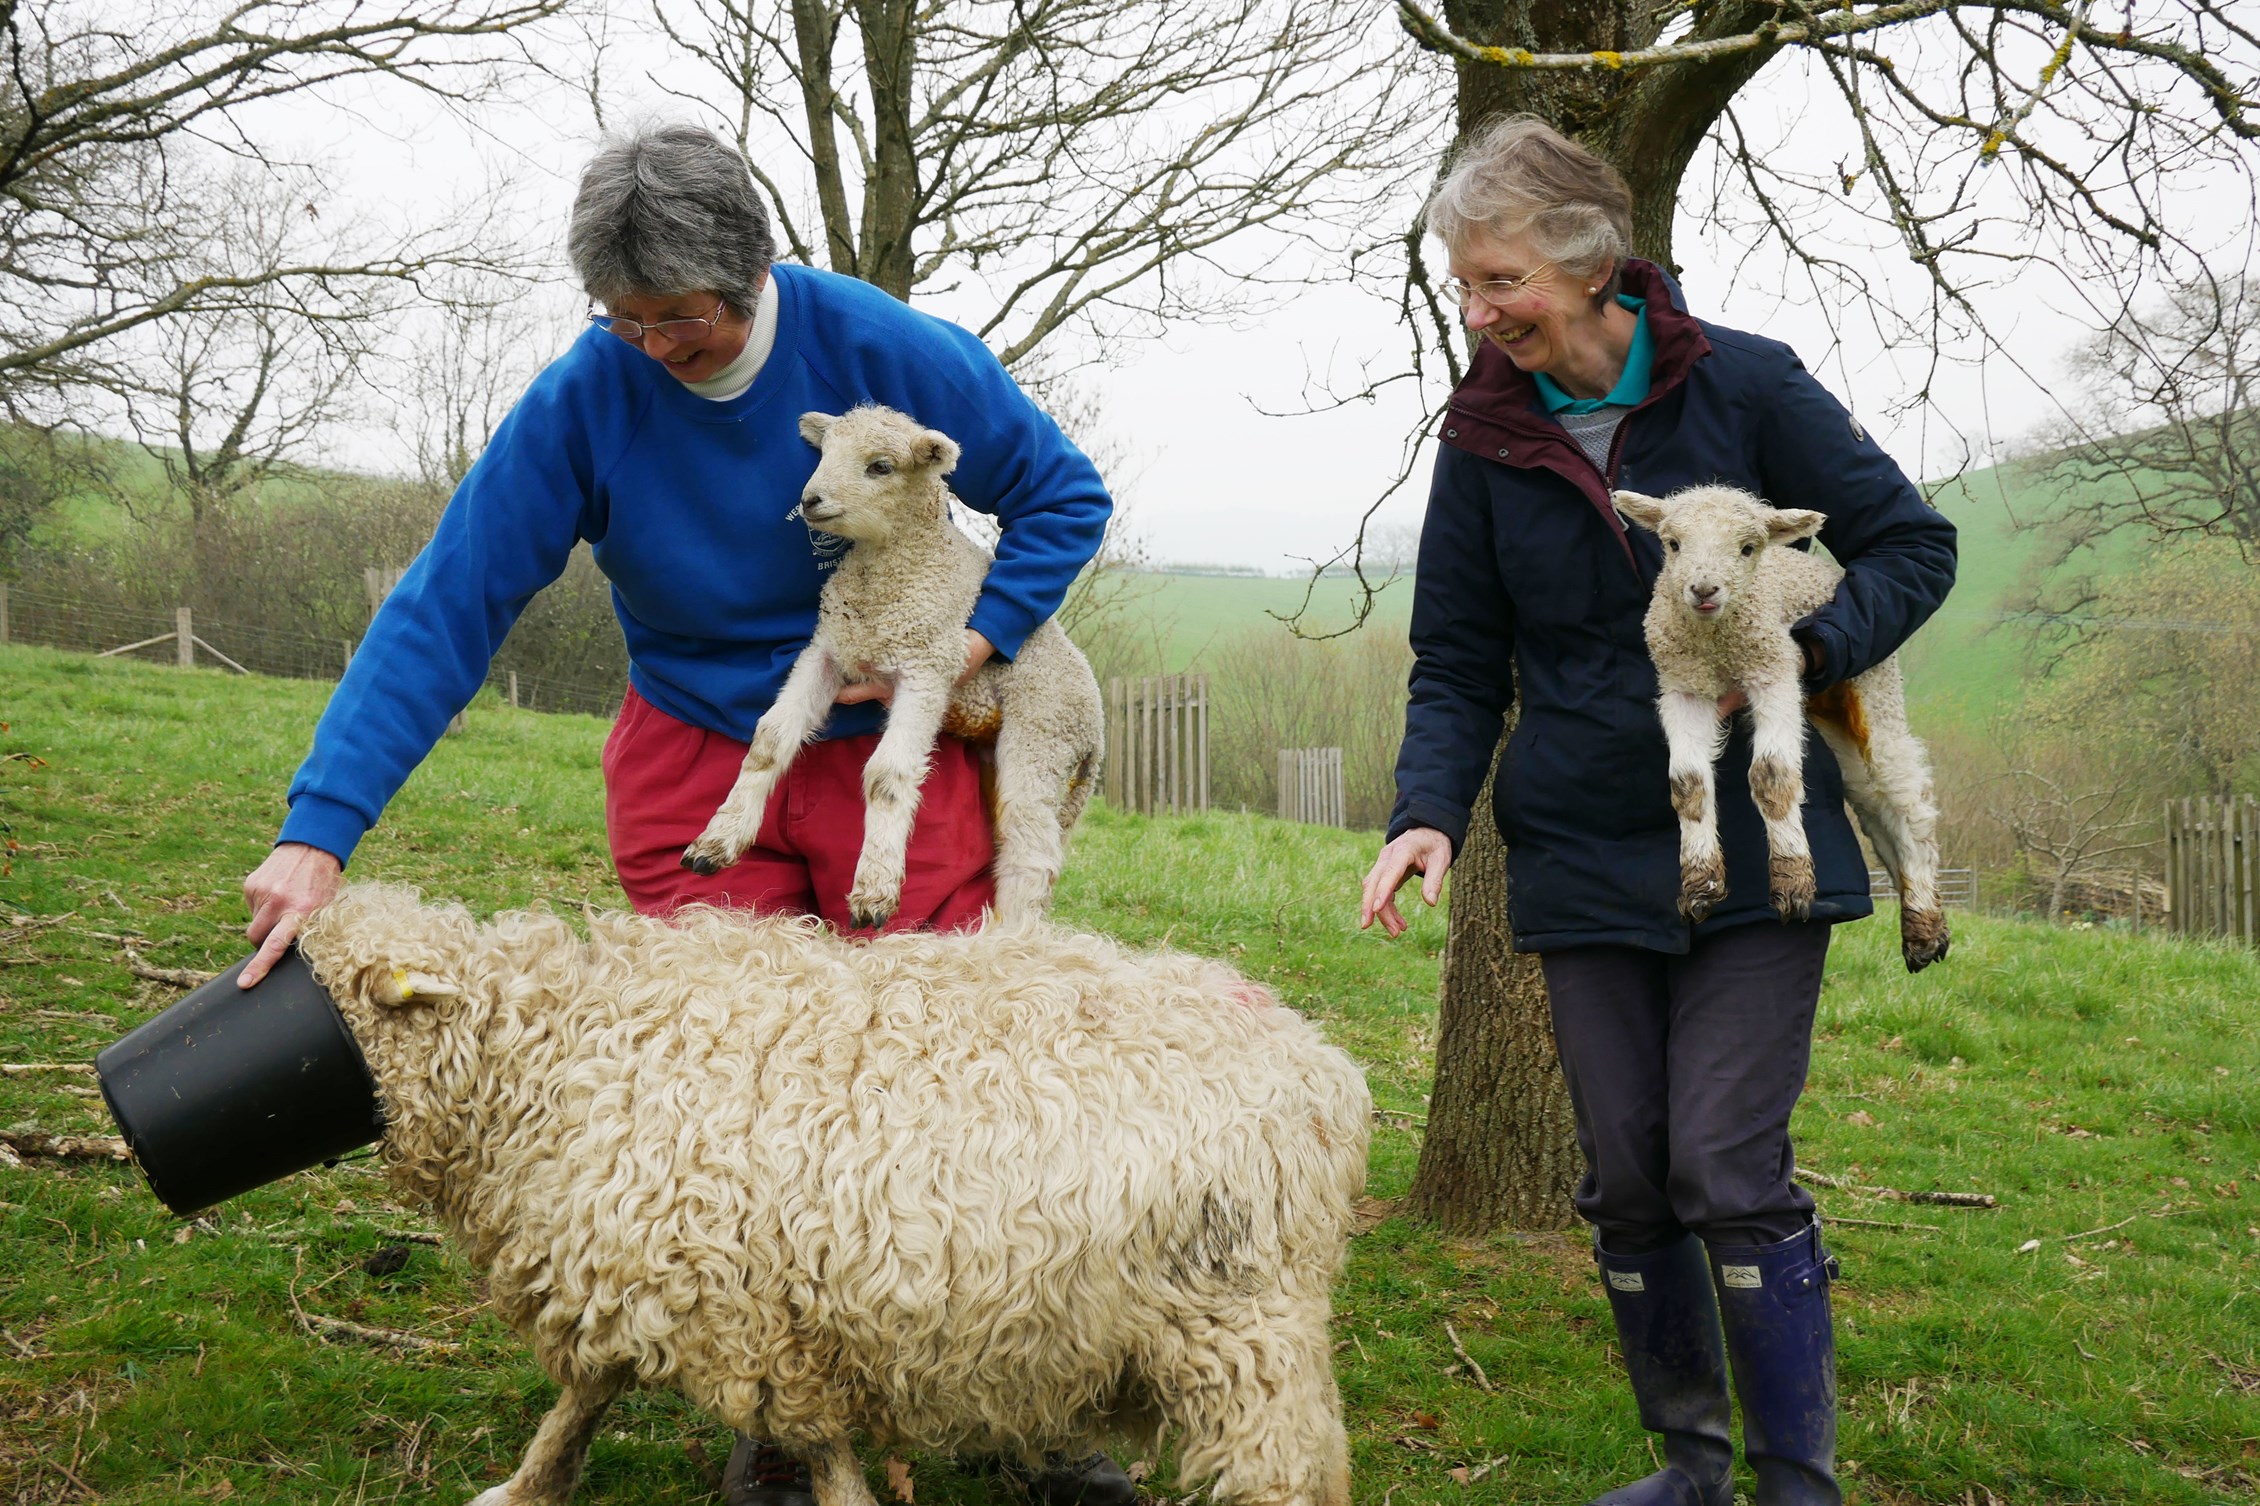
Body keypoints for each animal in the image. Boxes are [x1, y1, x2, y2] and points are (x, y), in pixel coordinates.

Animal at [294, 883, 1371, 1506]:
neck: (550, 1054)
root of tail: (1323, 1069)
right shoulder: (657, 1272)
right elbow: (589, 1396)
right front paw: (530, 1485)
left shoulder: (746, 1318)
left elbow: (815, 1449)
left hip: (1242, 1321)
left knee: (1290, 1472)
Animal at [682, 405, 1104, 929]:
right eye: (825, 452)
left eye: (881, 467)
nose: (810, 500)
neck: (889, 575)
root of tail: (1096, 725)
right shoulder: (828, 650)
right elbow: (770, 739)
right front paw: (716, 842)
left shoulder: (928, 665)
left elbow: (887, 775)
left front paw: (874, 891)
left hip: (1044, 732)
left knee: (1031, 847)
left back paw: (1009, 935)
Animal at [1612, 484, 1950, 973]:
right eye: (1672, 544)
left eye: (1747, 548)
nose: (1703, 590)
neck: (1716, 646)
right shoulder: (1683, 686)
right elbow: (1687, 784)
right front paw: (1700, 884)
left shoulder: (1774, 668)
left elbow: (1771, 776)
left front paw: (1792, 881)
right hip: (1827, 707)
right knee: (1870, 794)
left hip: (1874, 681)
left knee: (1907, 796)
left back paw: (1924, 923)